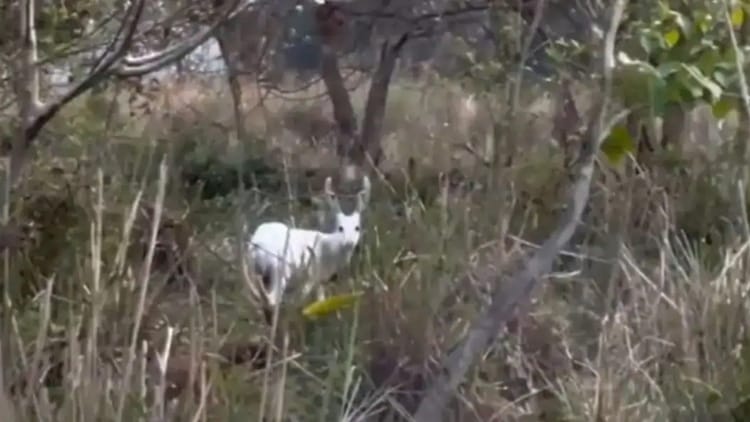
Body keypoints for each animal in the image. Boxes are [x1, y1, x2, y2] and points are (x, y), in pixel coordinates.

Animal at [247, 175, 371, 323]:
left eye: (357, 228)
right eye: (340, 227)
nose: (350, 243)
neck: (329, 248)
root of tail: (258, 247)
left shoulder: (320, 280)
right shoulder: (314, 276)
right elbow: (317, 302)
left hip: (254, 270)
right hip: (279, 270)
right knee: (272, 298)